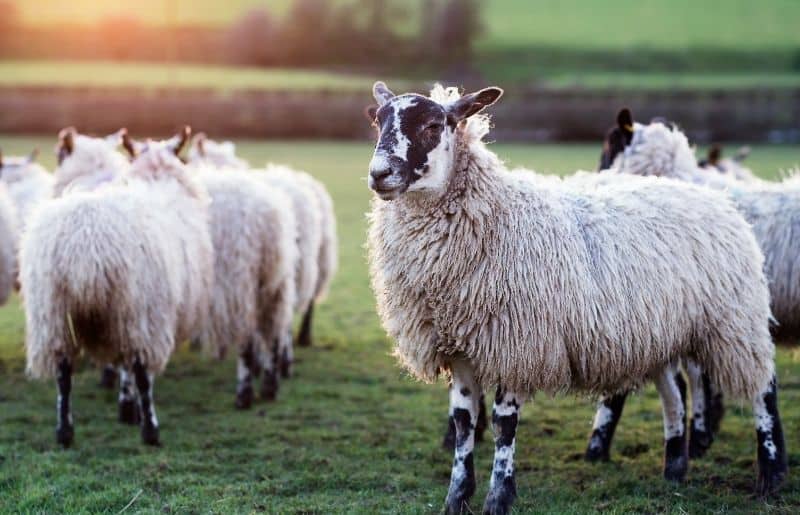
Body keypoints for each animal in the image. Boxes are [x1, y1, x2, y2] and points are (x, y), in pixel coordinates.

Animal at [21, 127, 213, 447]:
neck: (157, 176)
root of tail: (85, 240)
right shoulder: (143, 313)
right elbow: (132, 372)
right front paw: (128, 408)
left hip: (52, 312)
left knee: (63, 372)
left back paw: (64, 432)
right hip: (134, 308)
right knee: (141, 371)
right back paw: (150, 430)